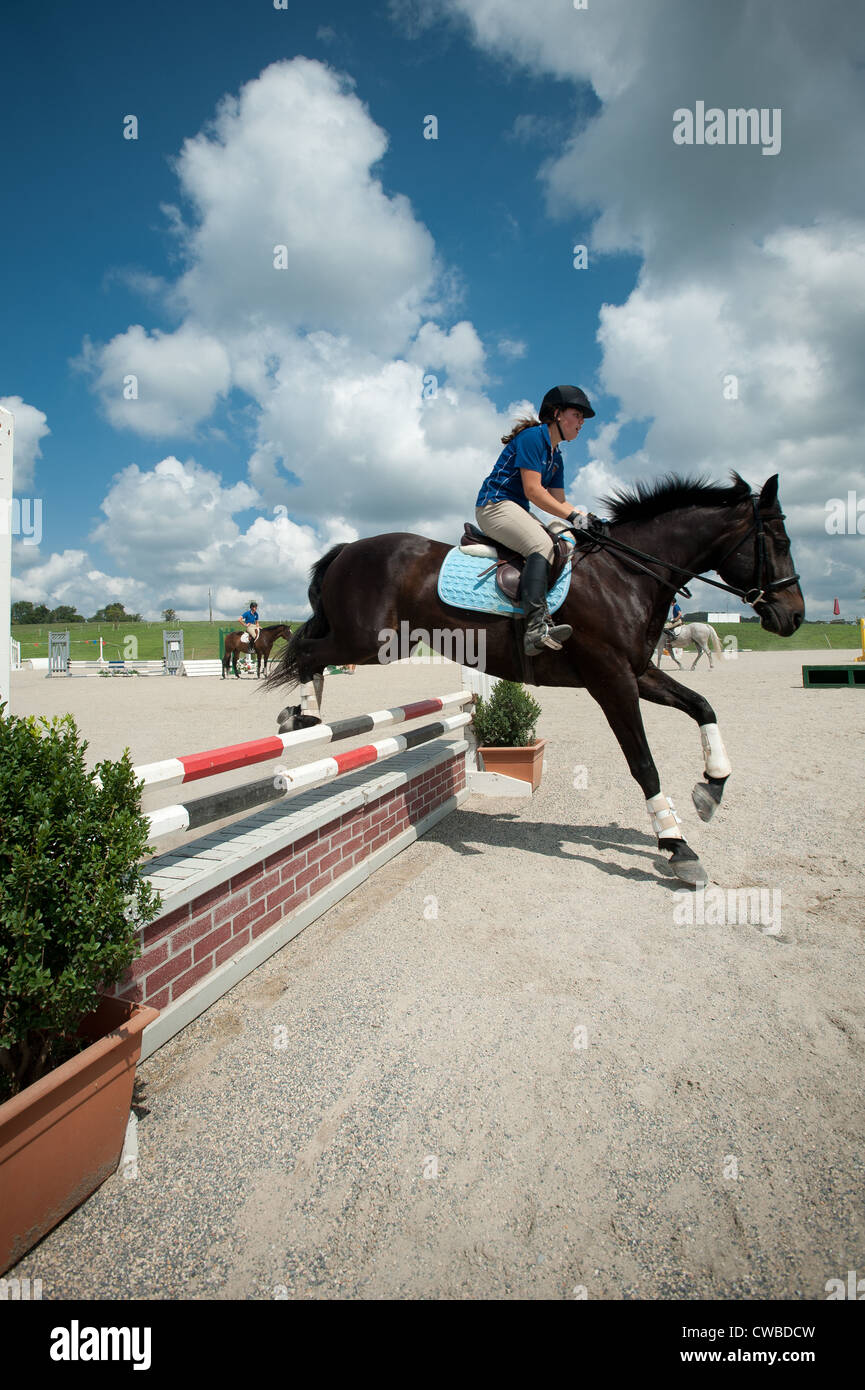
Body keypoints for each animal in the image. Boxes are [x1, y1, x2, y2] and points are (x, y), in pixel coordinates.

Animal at [265, 475, 806, 889]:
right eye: (780, 544)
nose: (795, 618)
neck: (628, 574)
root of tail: (350, 548)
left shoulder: (639, 673)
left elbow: (702, 706)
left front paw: (710, 789)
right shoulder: (612, 681)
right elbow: (644, 764)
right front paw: (677, 847)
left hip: (384, 644)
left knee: (309, 652)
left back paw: (303, 717)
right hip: (368, 643)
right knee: (305, 651)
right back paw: (300, 717)